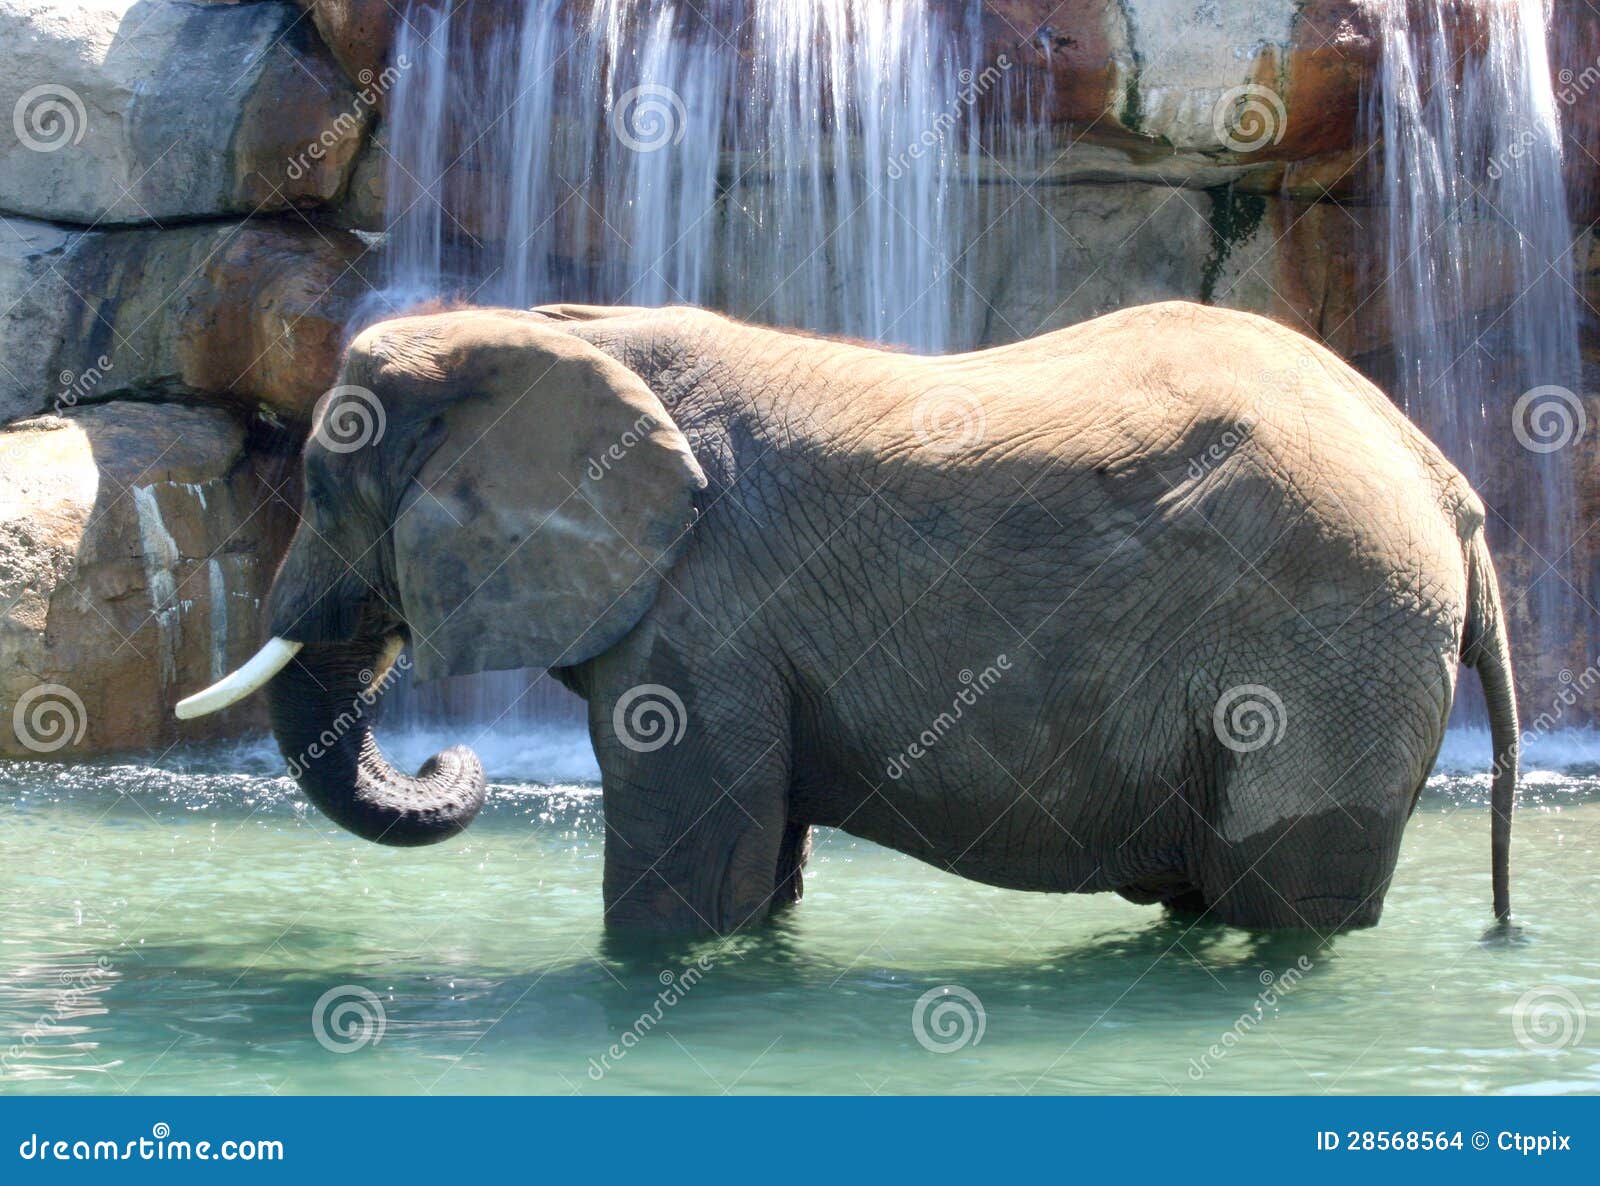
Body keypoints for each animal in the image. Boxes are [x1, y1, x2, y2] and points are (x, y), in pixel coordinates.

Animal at [176, 300, 1518, 935]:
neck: (554, 327)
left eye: (327, 486)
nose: (446, 757)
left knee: (1281, 904)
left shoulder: (700, 605)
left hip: (1331, 644)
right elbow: (755, 861)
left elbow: (685, 876)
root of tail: (1449, 486)